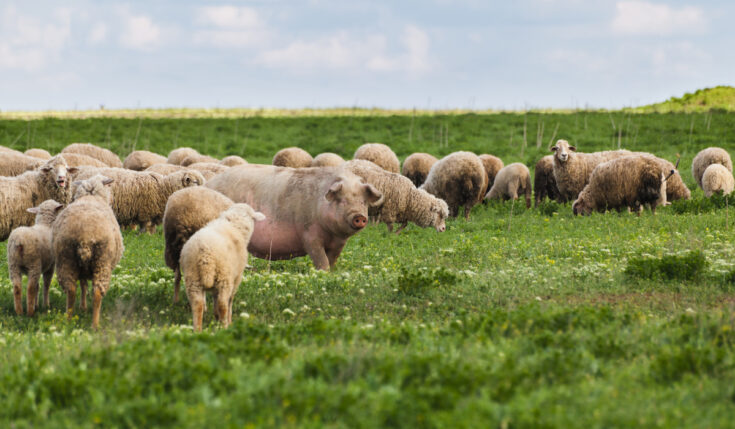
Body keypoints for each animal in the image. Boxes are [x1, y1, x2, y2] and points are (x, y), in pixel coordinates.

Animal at [52, 175, 123, 328]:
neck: (91, 196)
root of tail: (85, 236)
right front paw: (84, 307)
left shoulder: (82, 269)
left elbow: (83, 285)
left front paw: (83, 307)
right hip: (102, 261)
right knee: (97, 293)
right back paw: (95, 325)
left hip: (66, 259)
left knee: (71, 290)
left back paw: (68, 320)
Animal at [73, 167, 205, 233]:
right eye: (195, 182)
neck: (163, 188)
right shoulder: (145, 211)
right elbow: (144, 226)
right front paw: (142, 235)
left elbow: (151, 227)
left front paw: (151, 235)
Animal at [205, 165, 383, 270]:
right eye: (342, 200)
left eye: (362, 202)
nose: (359, 216)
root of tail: (208, 184)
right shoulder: (309, 234)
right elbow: (321, 259)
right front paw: (323, 274)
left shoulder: (339, 243)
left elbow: (332, 260)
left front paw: (332, 273)